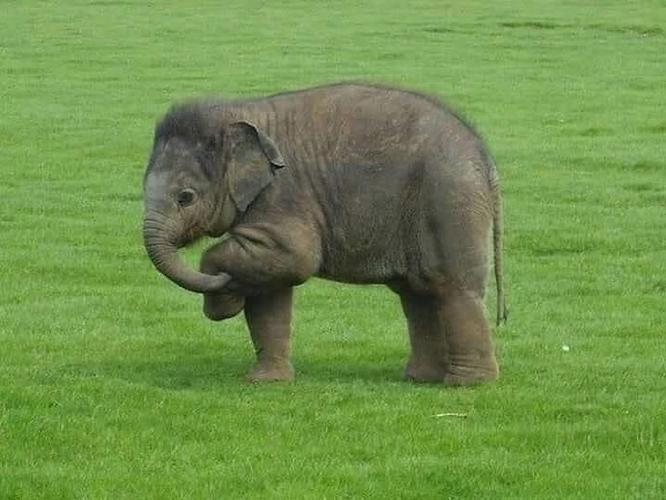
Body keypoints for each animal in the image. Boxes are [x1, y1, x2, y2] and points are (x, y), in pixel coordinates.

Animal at [142, 82, 507, 385]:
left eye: (185, 197)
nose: (226, 289)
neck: (239, 112)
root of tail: (484, 156)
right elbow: (271, 289)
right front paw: (265, 381)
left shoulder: (283, 195)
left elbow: (296, 258)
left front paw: (225, 298)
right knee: (417, 294)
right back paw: (422, 378)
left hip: (448, 201)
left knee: (453, 288)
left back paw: (466, 384)